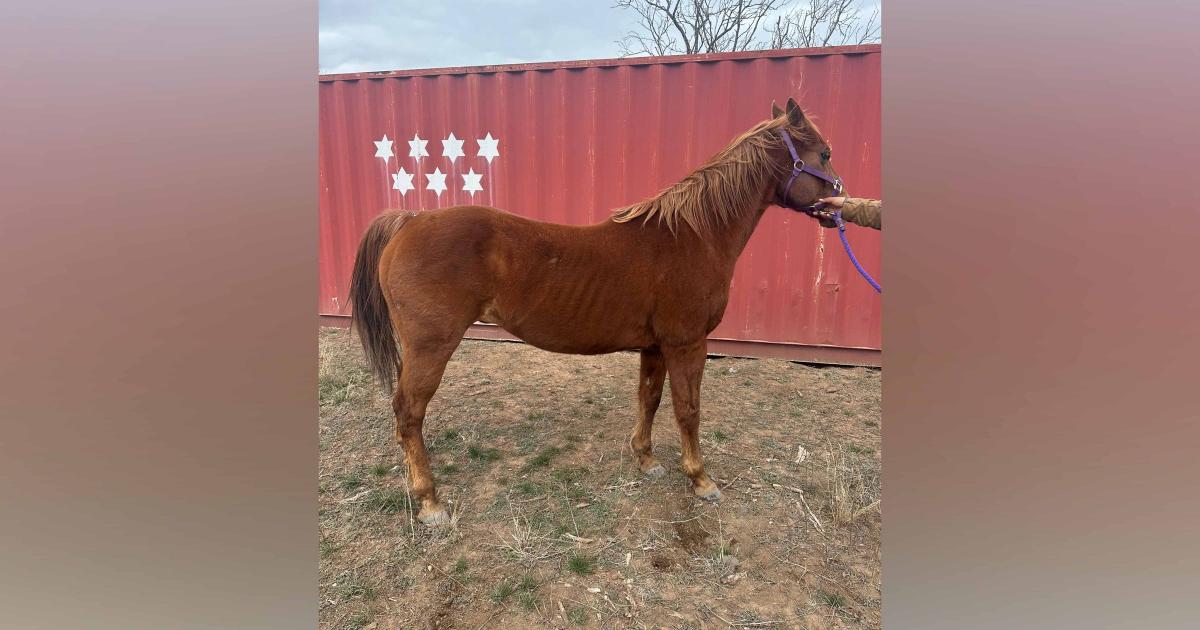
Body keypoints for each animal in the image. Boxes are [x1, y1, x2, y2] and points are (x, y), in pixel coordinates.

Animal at [349, 98, 842, 525]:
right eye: (825, 152)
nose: (839, 204)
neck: (692, 235)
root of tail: (410, 221)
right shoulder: (687, 343)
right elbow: (688, 410)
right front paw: (701, 480)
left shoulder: (655, 346)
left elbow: (650, 399)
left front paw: (646, 460)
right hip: (431, 346)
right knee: (409, 413)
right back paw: (430, 502)